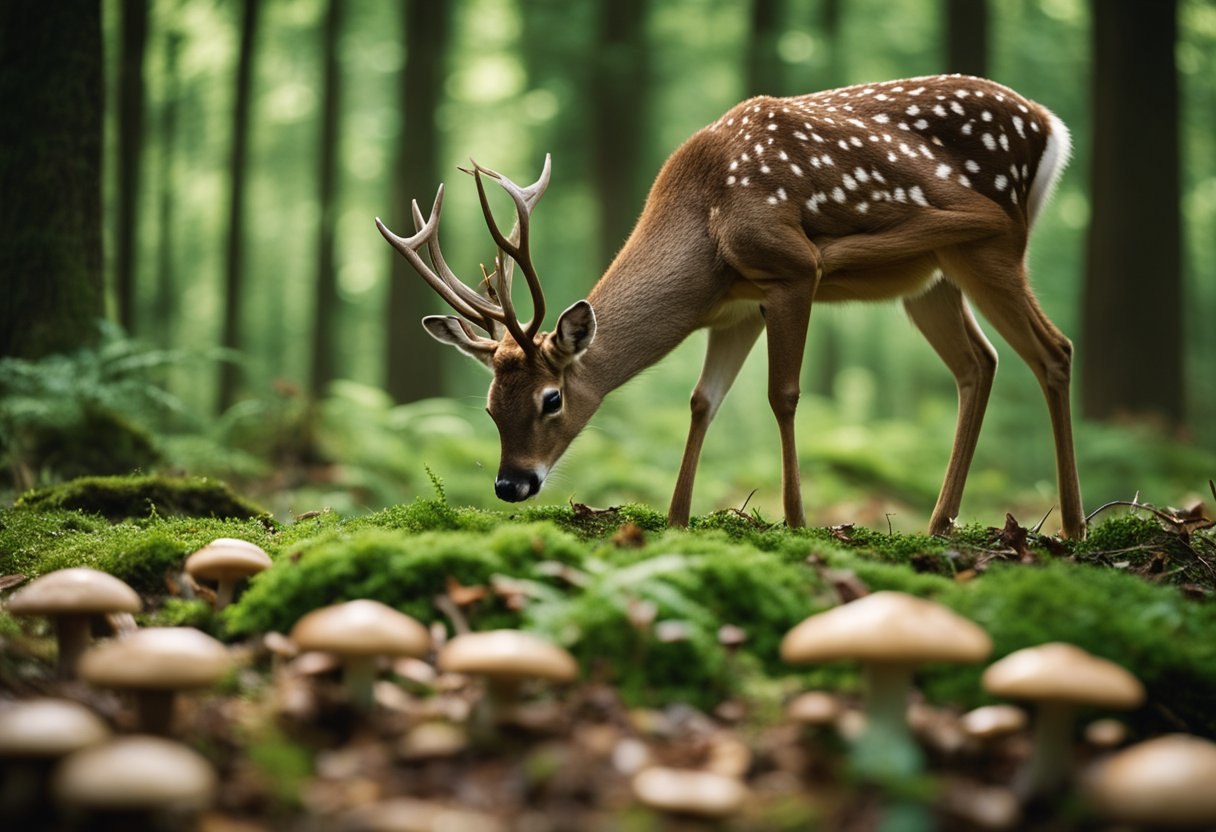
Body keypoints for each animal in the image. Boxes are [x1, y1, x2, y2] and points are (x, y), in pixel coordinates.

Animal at [377, 74, 1085, 539]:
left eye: (551, 399)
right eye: (490, 406)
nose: (511, 484)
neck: (706, 229)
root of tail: (1052, 125)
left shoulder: (793, 269)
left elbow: (785, 394)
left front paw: (795, 521)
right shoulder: (737, 307)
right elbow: (703, 401)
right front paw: (676, 518)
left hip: (992, 243)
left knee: (1054, 349)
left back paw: (1074, 527)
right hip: (931, 281)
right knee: (979, 363)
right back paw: (942, 522)